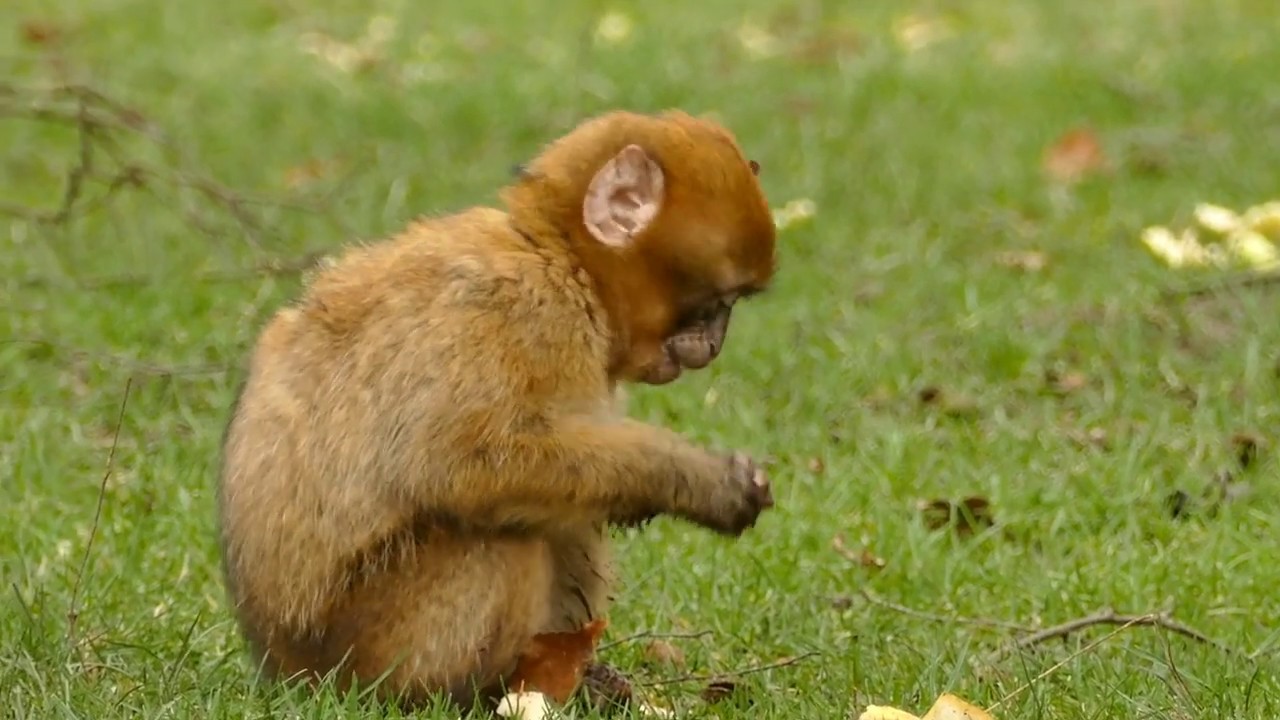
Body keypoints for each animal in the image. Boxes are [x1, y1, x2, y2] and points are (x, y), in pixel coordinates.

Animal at [216, 109, 778, 712]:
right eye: (716, 303)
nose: (715, 343)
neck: (559, 260)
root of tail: (285, 666)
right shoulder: (516, 310)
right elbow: (458, 464)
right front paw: (693, 478)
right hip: (375, 643)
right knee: (504, 534)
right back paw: (481, 692)